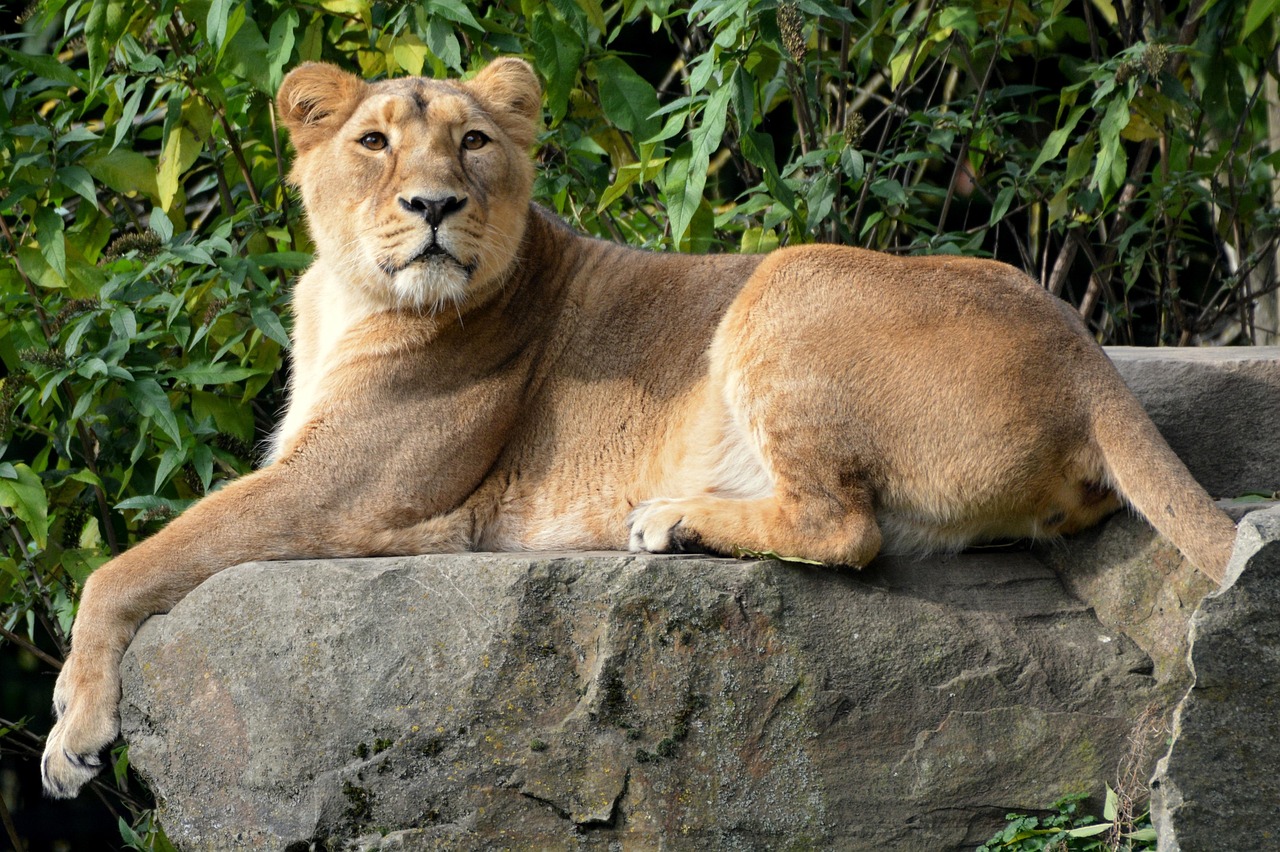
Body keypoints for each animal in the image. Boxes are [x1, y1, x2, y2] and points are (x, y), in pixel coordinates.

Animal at [41, 57, 1238, 798]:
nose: (433, 207)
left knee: (846, 528)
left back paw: (671, 522)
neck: (347, 292)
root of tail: (1084, 352)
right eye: (375, 143)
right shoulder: (316, 476)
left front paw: (74, 733)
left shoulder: (338, 489)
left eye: (473, 144)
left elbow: (129, 563)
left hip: (784, 279)